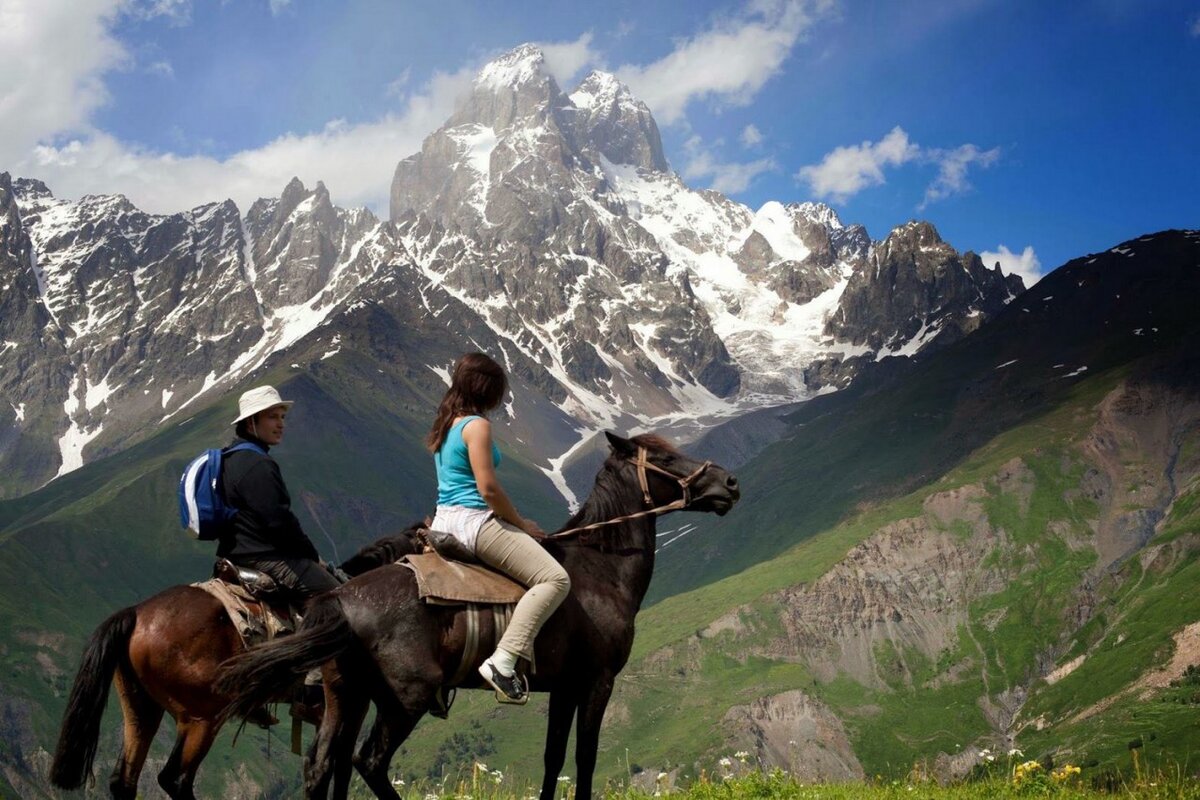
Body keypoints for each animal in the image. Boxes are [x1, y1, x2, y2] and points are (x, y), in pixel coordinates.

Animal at [48, 532, 417, 800]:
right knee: (175, 779)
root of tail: (137, 613)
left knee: (124, 780)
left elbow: (330, 764)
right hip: (201, 719)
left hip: (141, 709)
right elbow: (335, 766)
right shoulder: (349, 707)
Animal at [217, 434, 739, 800]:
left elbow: (554, 757)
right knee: (370, 763)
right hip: (405, 698)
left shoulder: (565, 687)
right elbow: (586, 758)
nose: (729, 483)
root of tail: (341, 597)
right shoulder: (597, 681)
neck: (600, 571)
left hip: (348, 694)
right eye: (666, 459)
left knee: (322, 765)